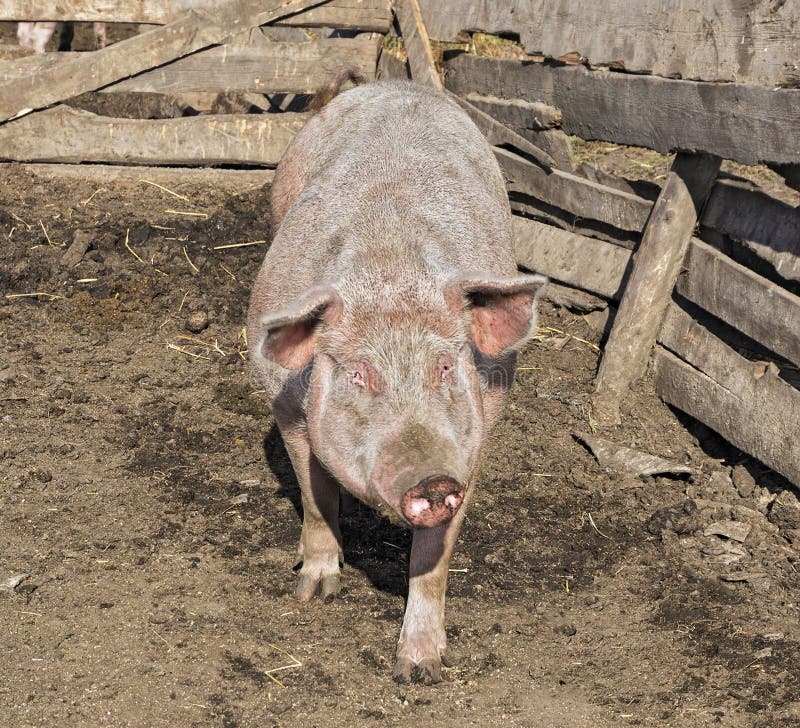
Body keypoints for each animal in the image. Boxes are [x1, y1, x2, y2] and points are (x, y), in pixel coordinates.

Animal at [248, 72, 547, 684]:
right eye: (359, 374)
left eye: (446, 367)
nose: (430, 479)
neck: (390, 276)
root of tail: (399, 83)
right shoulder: (284, 406)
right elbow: (316, 497)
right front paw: (314, 591)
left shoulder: (472, 443)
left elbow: (434, 558)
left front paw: (420, 668)